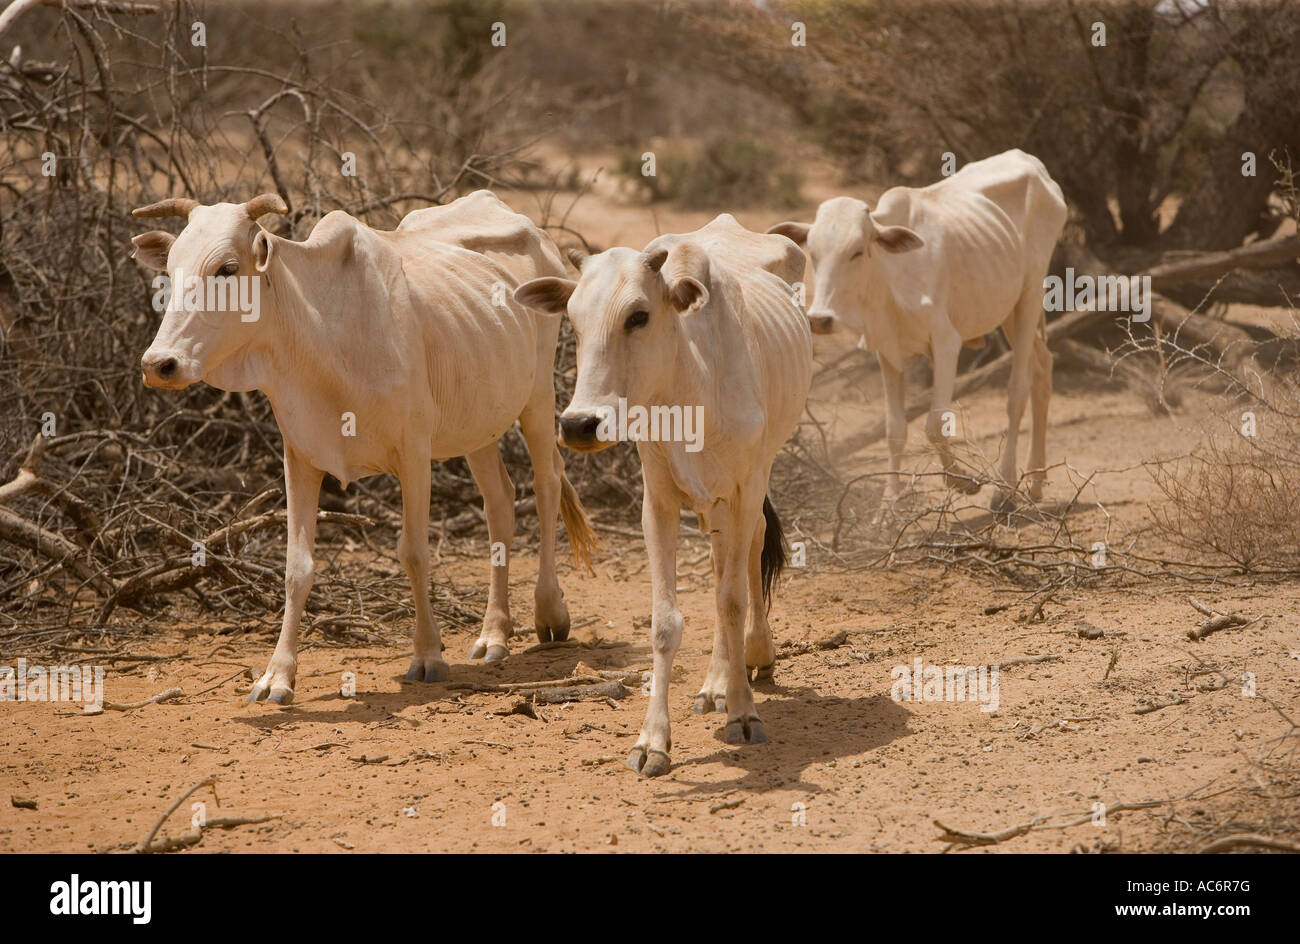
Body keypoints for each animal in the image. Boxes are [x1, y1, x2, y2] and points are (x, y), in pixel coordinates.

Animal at [130, 189, 597, 704]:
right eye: (170, 268)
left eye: (227, 268)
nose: (159, 364)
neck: (320, 333)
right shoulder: (299, 457)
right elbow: (296, 567)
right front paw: (276, 676)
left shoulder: (413, 453)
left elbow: (413, 553)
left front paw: (428, 656)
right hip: (478, 424)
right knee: (500, 501)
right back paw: (494, 633)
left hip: (537, 398)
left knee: (546, 483)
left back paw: (548, 612)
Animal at [513, 215, 812, 776]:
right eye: (572, 321)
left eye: (638, 315)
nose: (579, 424)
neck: (690, 385)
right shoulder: (659, 501)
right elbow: (666, 621)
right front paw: (653, 739)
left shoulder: (745, 489)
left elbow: (733, 599)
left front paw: (744, 714)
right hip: (712, 505)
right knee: (720, 569)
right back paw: (716, 683)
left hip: (754, 480)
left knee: (746, 561)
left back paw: (755, 655)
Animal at [768, 149, 1068, 513]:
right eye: (813, 253)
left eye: (857, 251)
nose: (819, 319)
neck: (887, 277)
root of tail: (1031, 162)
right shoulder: (887, 351)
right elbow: (895, 430)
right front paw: (889, 504)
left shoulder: (946, 342)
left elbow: (935, 425)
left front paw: (963, 481)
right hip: (1007, 309)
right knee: (1043, 367)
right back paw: (1036, 481)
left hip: (1030, 295)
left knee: (1017, 392)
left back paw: (1006, 487)